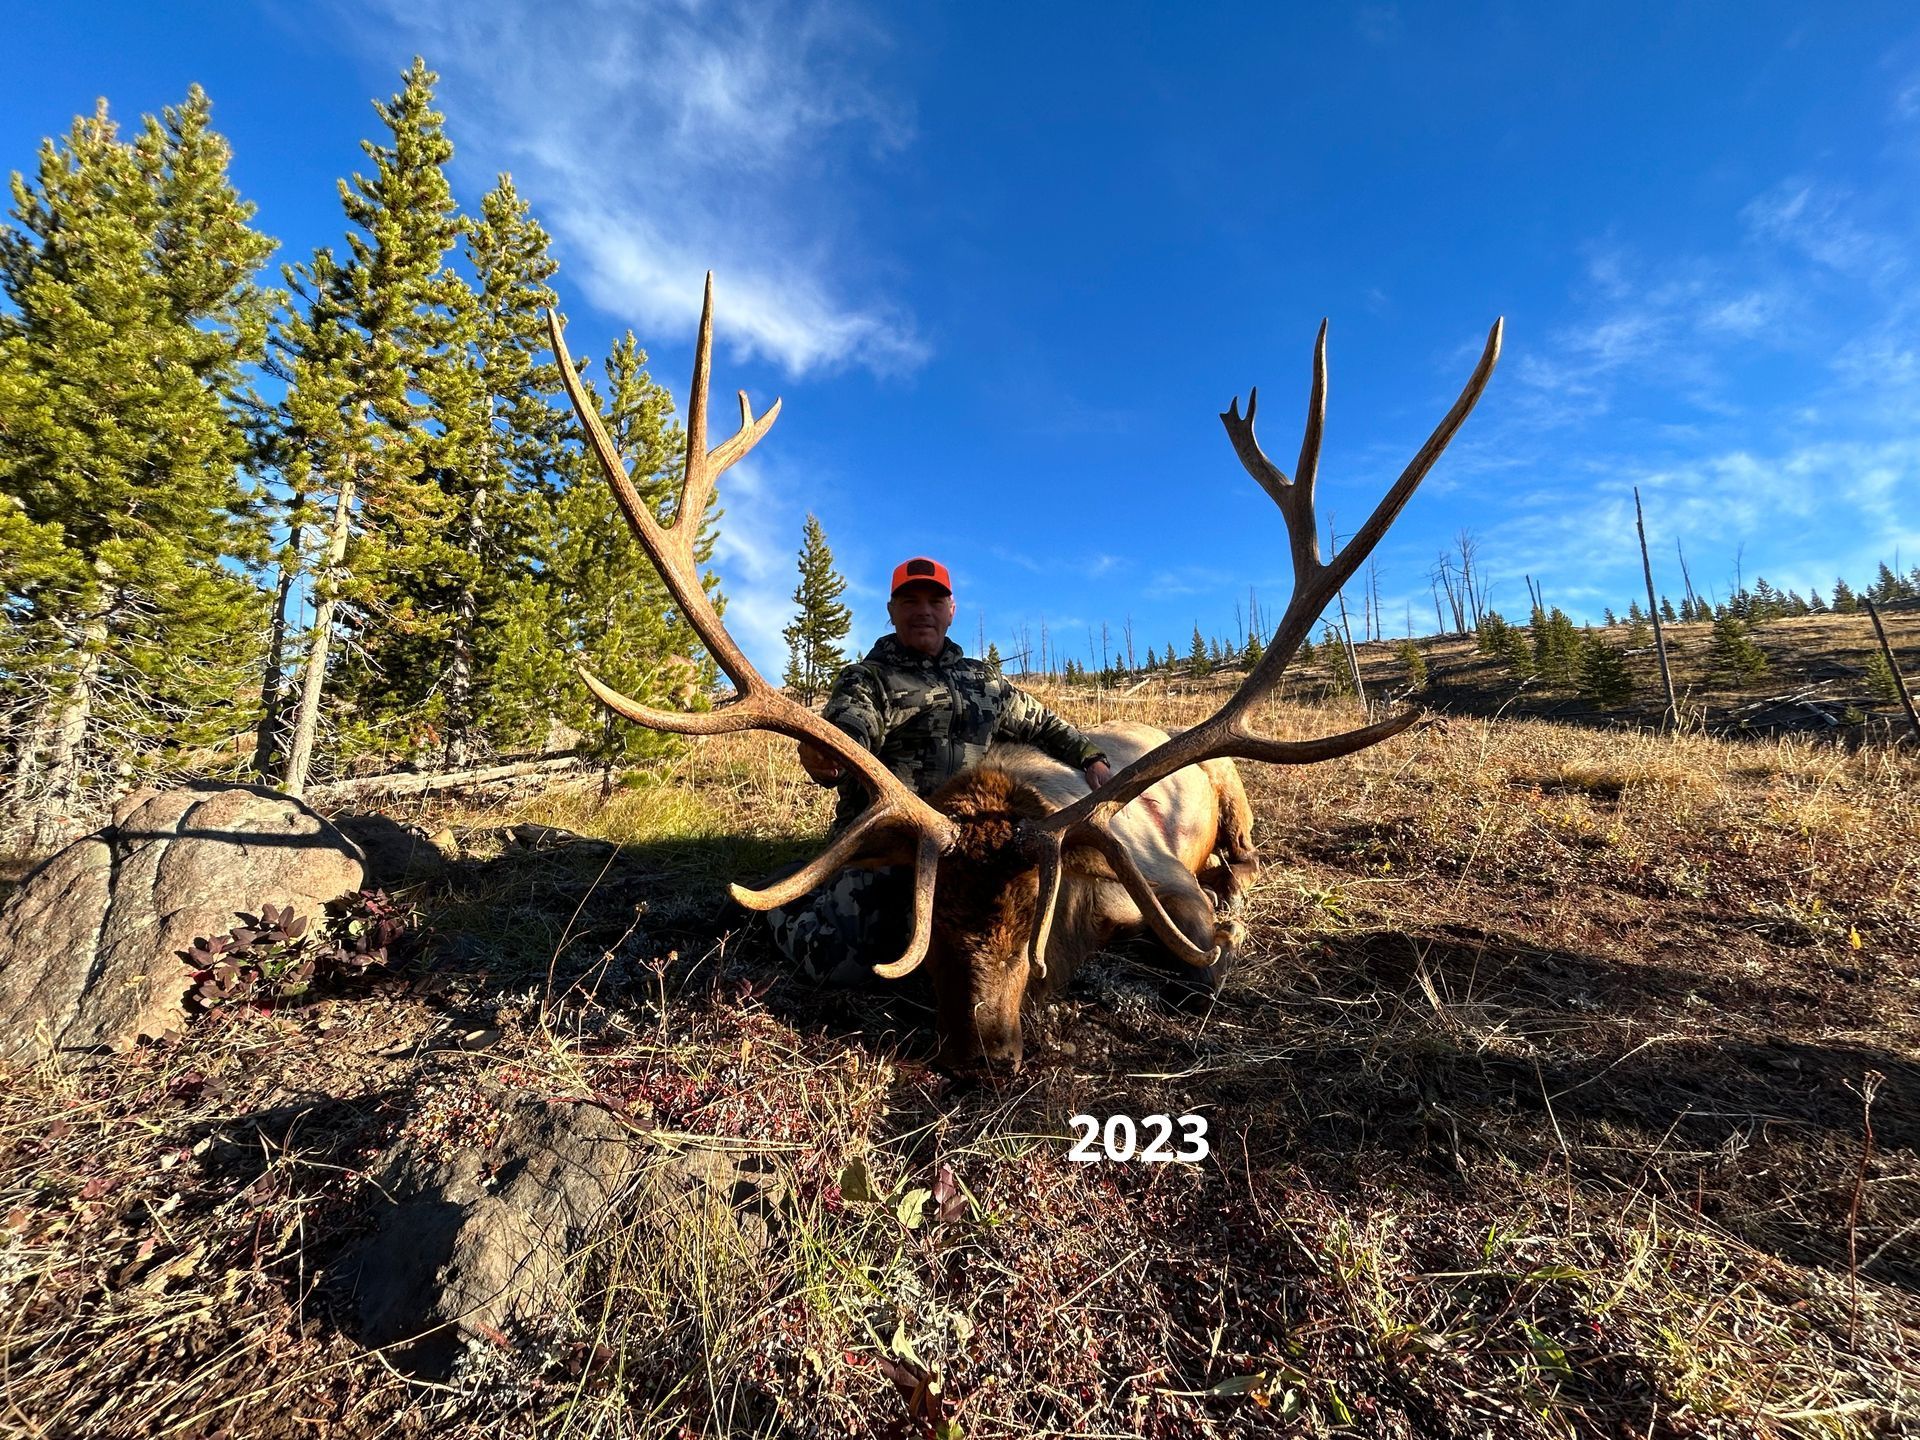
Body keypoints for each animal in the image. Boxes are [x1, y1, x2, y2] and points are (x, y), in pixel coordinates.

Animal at [544, 277, 1501, 1072]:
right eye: (933, 921)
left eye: (1031, 911)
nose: (986, 1052)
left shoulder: (1167, 890)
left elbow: (1205, 964)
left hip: (1236, 792)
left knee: (1248, 858)